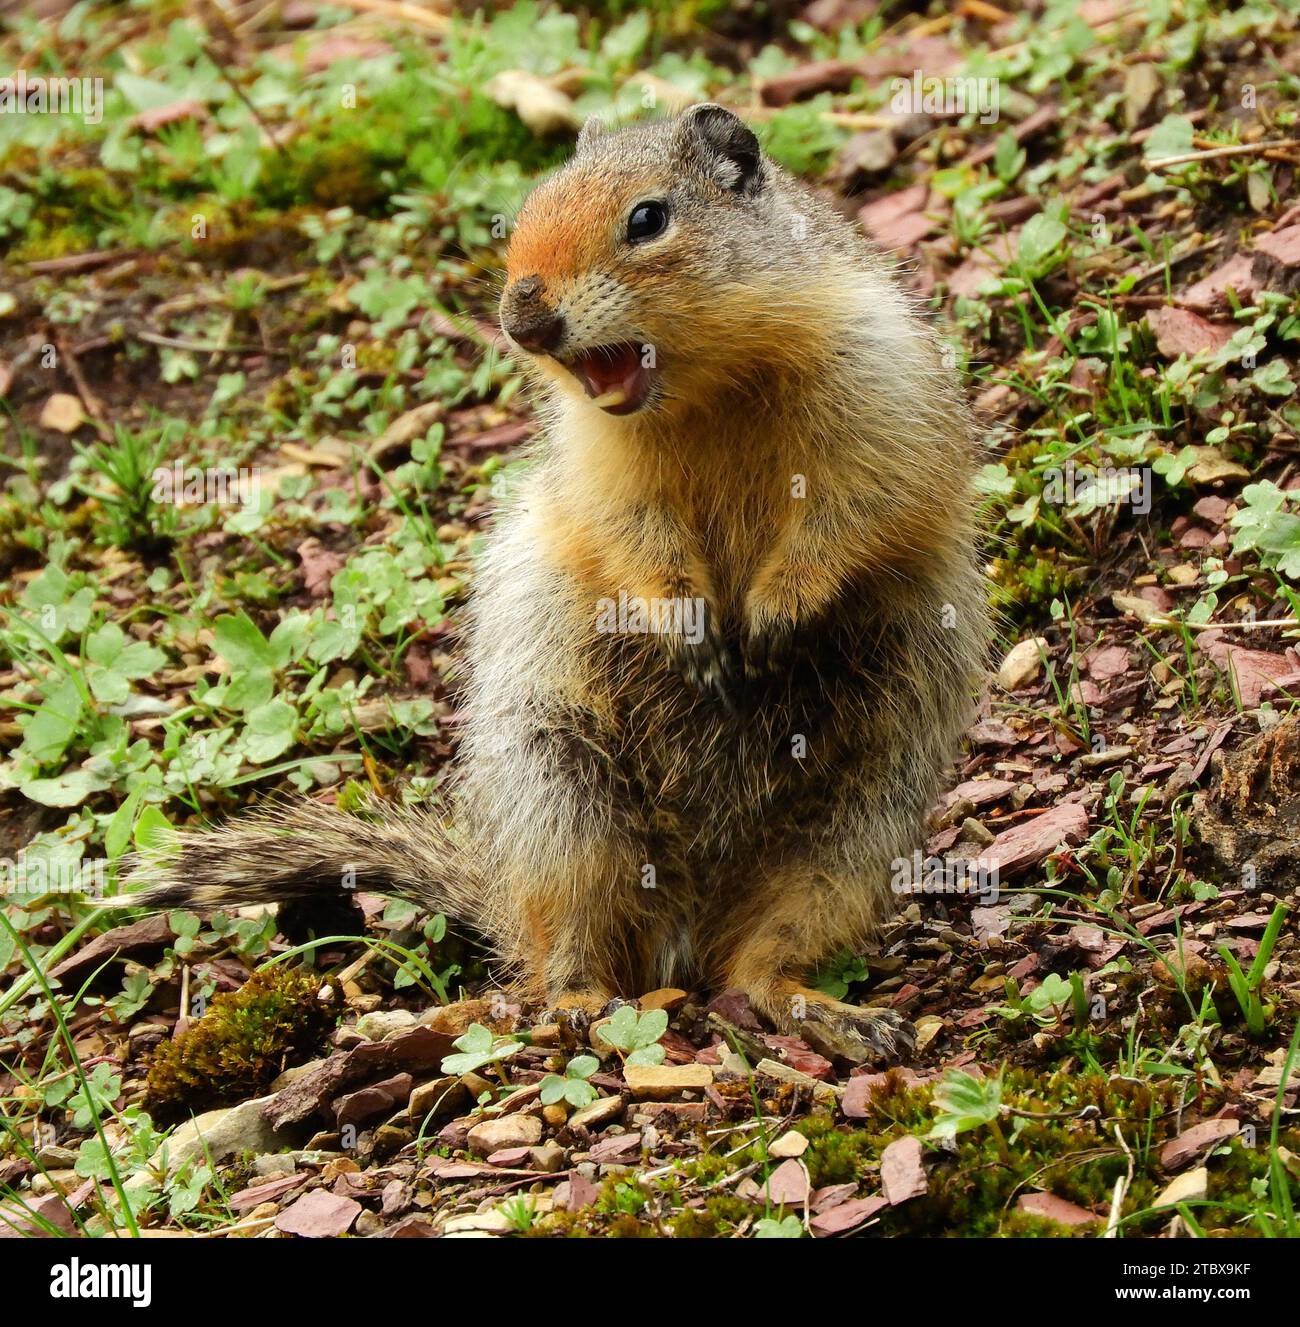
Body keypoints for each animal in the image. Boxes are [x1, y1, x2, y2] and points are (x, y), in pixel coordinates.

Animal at [125, 104, 989, 1063]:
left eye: (648, 219)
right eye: (526, 210)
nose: (521, 318)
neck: (712, 392)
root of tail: (686, 926)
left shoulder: (877, 395)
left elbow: (851, 516)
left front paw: (777, 612)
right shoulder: (603, 470)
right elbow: (631, 540)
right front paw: (692, 629)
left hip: (853, 831)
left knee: (762, 963)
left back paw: (834, 1013)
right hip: (565, 801)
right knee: (569, 949)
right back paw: (585, 1001)